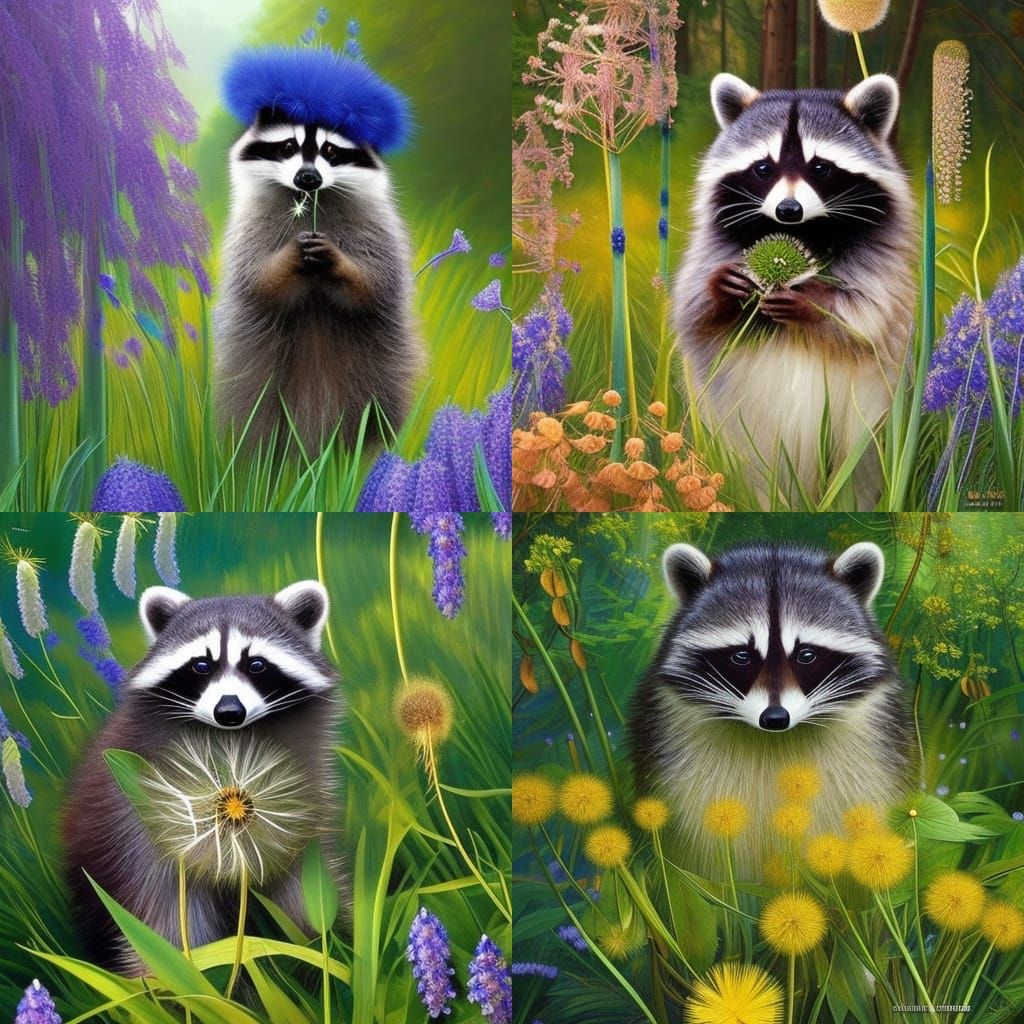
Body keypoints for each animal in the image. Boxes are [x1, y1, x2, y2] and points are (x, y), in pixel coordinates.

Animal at [62, 581, 344, 973]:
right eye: (200, 665)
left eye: (256, 664)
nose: (229, 711)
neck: (233, 742)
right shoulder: (143, 813)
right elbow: (164, 916)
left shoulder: (299, 796)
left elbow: (300, 891)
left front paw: (320, 949)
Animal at [215, 47, 423, 454]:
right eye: (288, 147)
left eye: (330, 150)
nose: (307, 178)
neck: (312, 201)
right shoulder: (250, 232)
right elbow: (261, 283)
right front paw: (287, 260)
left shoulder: (378, 231)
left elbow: (373, 285)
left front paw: (340, 264)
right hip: (256, 370)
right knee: (254, 414)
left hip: (377, 371)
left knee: (375, 417)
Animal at [672, 74, 917, 510]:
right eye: (763, 167)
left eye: (819, 167)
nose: (788, 210)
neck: (806, 234)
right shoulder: (711, 250)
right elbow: (692, 308)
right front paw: (721, 290)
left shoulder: (883, 266)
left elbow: (867, 316)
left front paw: (813, 304)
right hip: (739, 428)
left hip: (865, 427)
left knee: (860, 462)